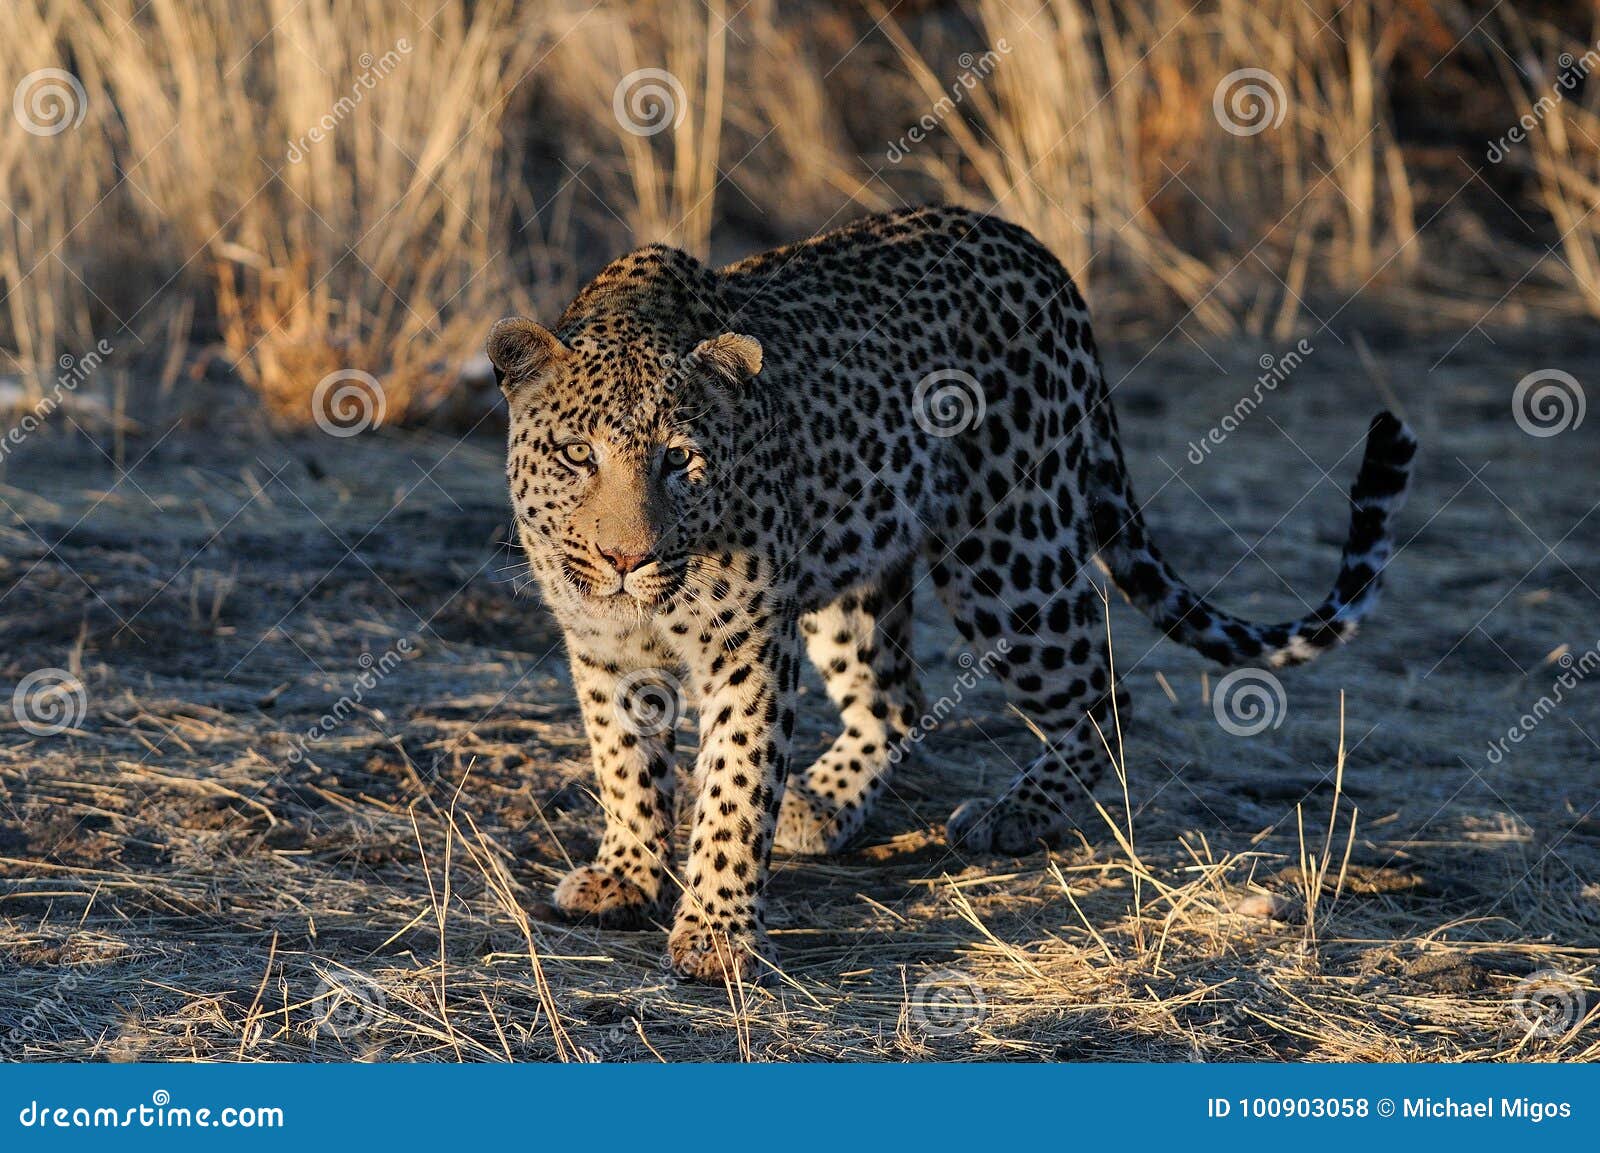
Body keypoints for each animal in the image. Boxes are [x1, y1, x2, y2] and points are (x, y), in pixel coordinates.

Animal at [486, 205, 1417, 985]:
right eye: (577, 454)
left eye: (679, 458)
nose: (625, 557)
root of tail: (1045, 259)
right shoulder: (603, 646)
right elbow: (624, 761)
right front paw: (627, 876)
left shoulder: (745, 644)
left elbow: (734, 788)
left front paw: (717, 932)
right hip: (858, 566)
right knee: (896, 696)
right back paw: (824, 805)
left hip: (1005, 556)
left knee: (1102, 691)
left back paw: (1014, 815)